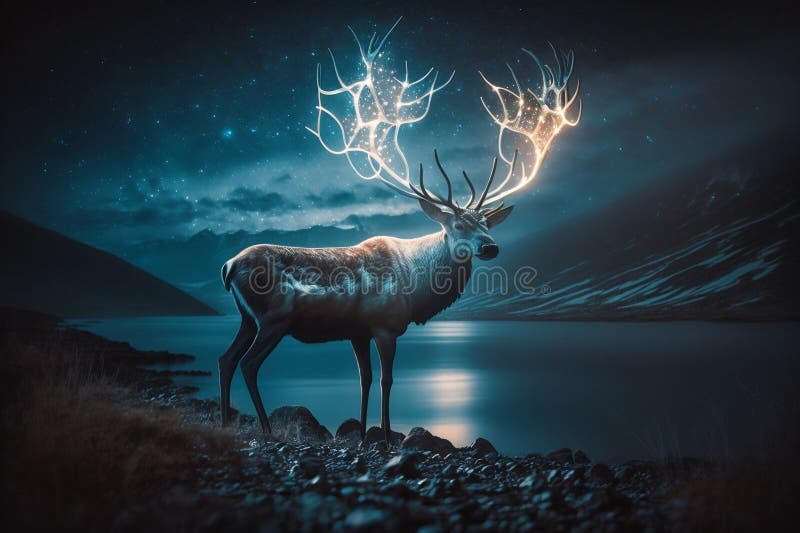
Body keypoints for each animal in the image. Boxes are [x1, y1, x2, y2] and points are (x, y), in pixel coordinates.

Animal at [218, 19, 580, 446]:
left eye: (486, 224)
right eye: (458, 224)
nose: (490, 247)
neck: (418, 285)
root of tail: (228, 266)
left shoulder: (356, 331)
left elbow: (364, 379)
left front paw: (363, 435)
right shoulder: (385, 326)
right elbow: (387, 380)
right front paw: (388, 435)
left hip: (247, 318)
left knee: (225, 359)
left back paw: (225, 421)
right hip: (274, 319)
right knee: (249, 365)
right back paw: (265, 428)